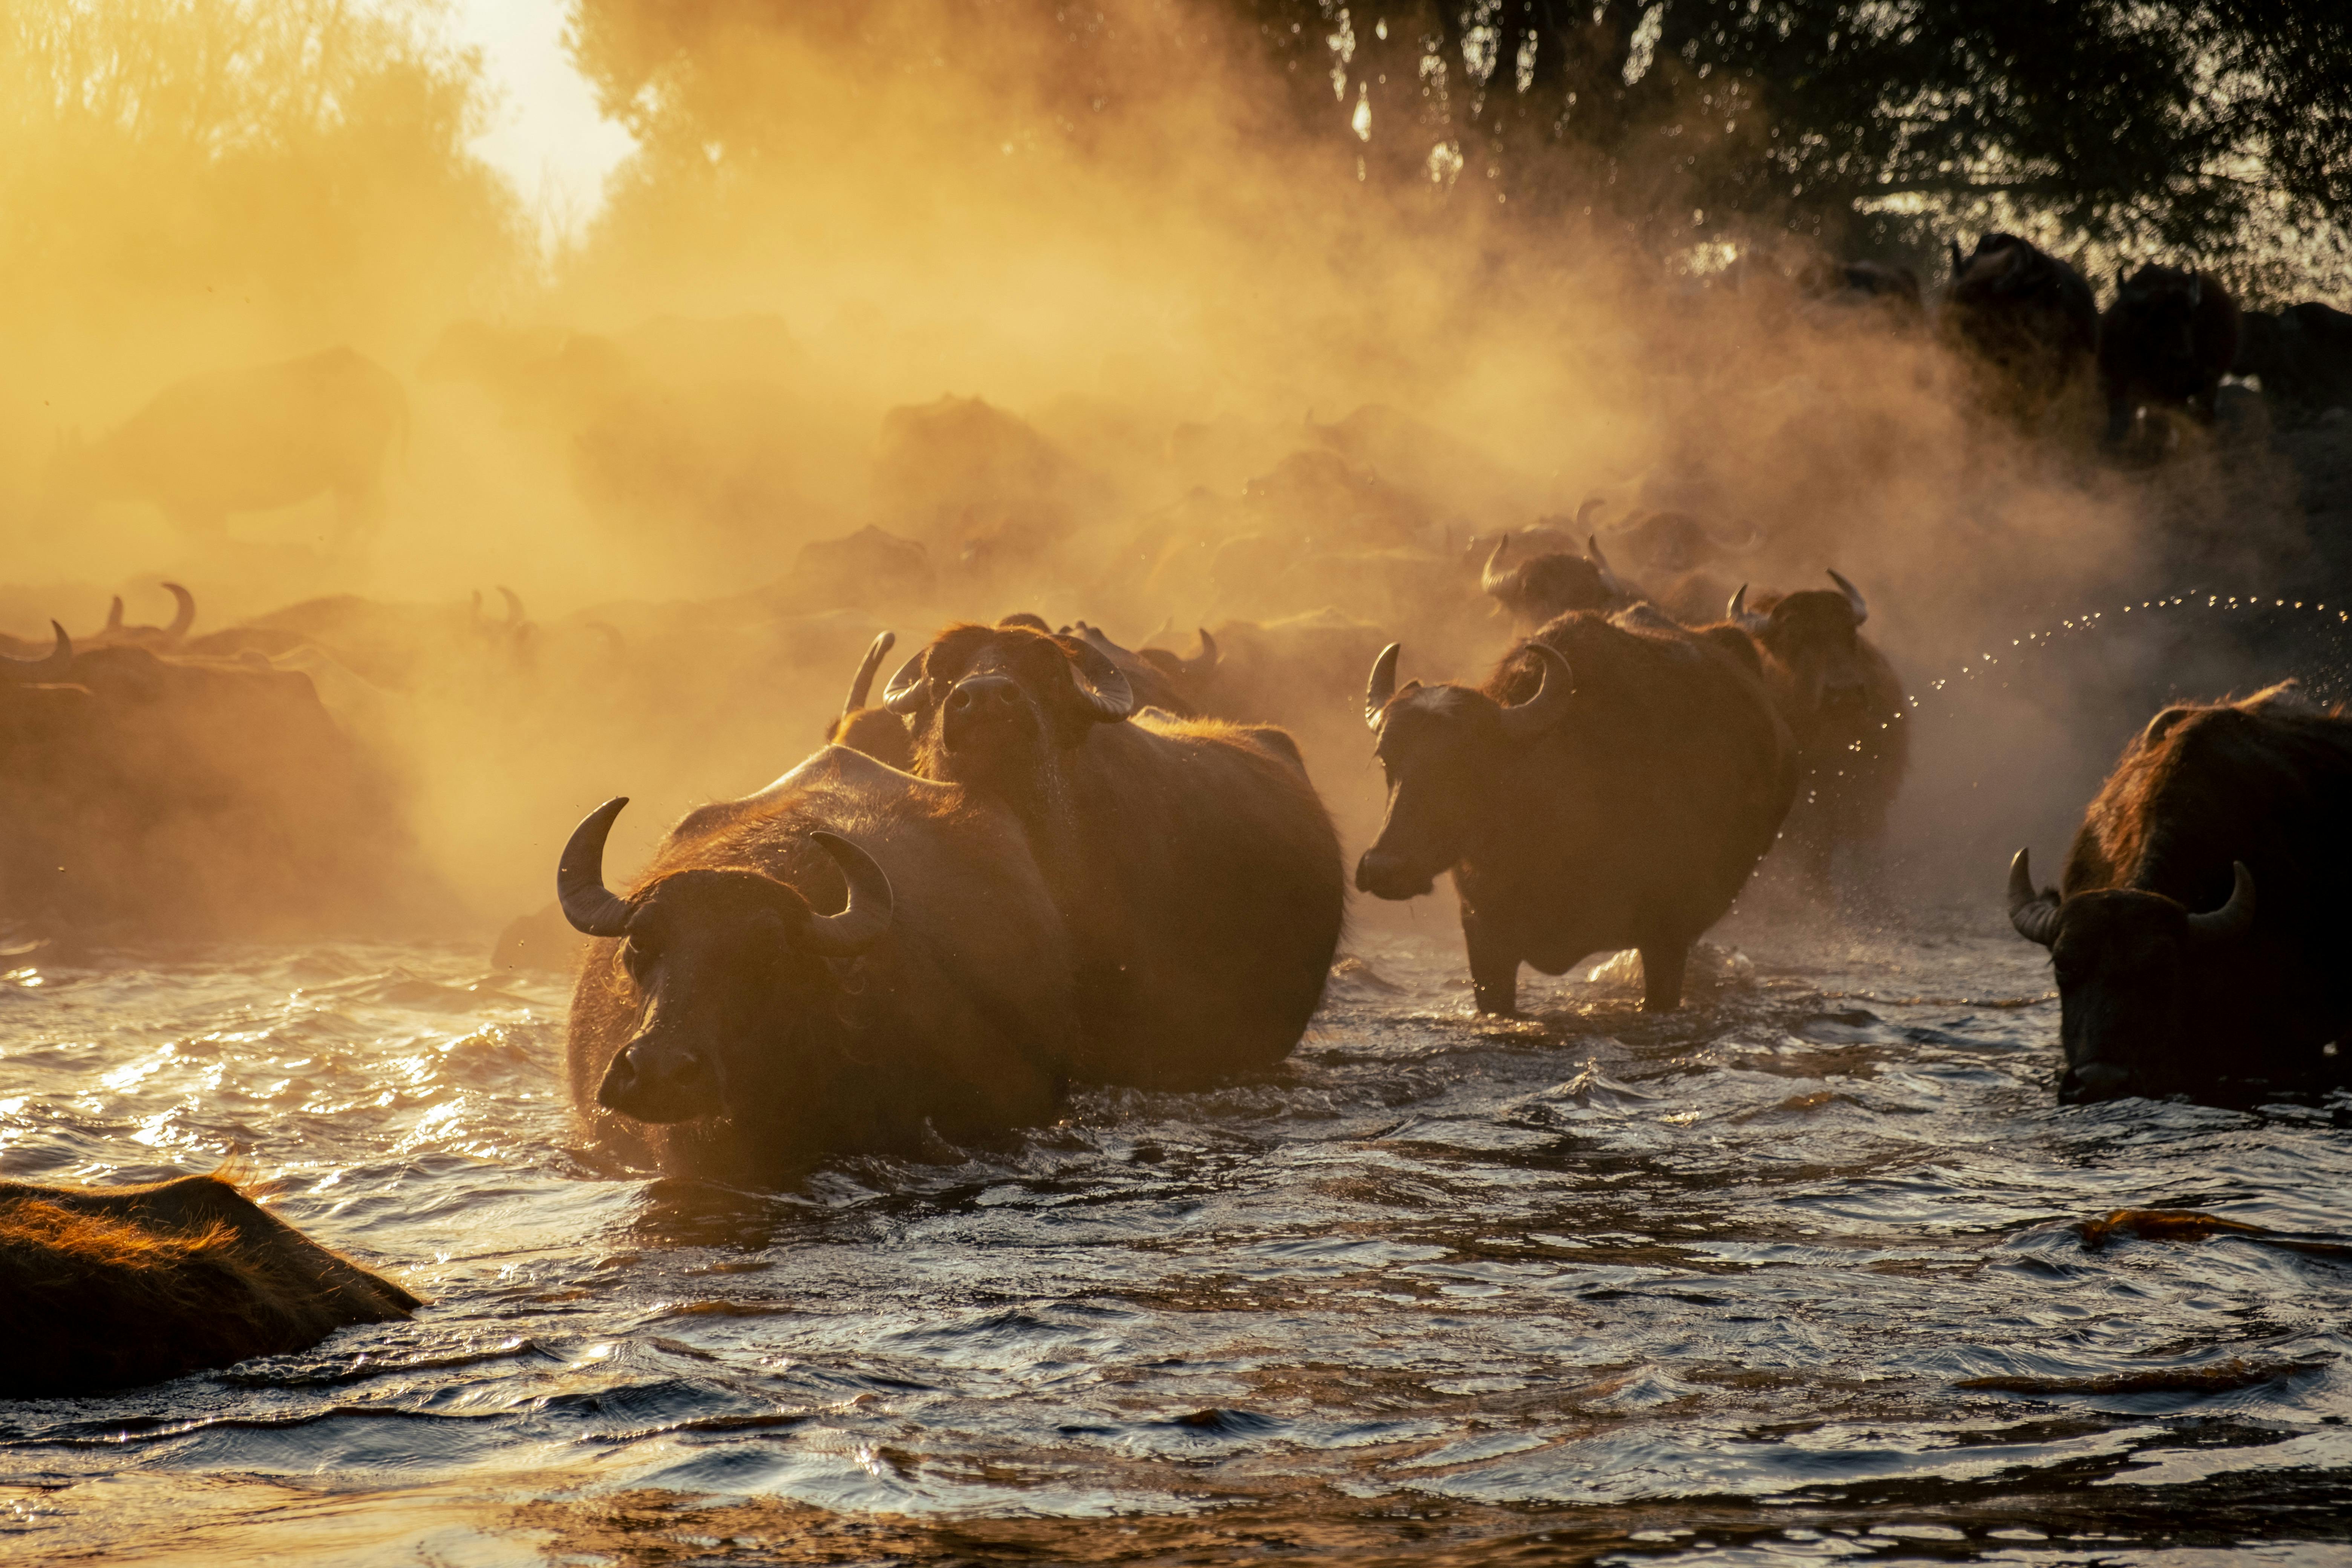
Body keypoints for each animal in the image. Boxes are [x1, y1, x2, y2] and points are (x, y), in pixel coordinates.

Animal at [45, 347, 407, 548]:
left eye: (67, 478)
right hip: (352, 477)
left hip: (358, 470)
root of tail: (393, 388)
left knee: (369, 515)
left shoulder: (203, 508)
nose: (41, 528)